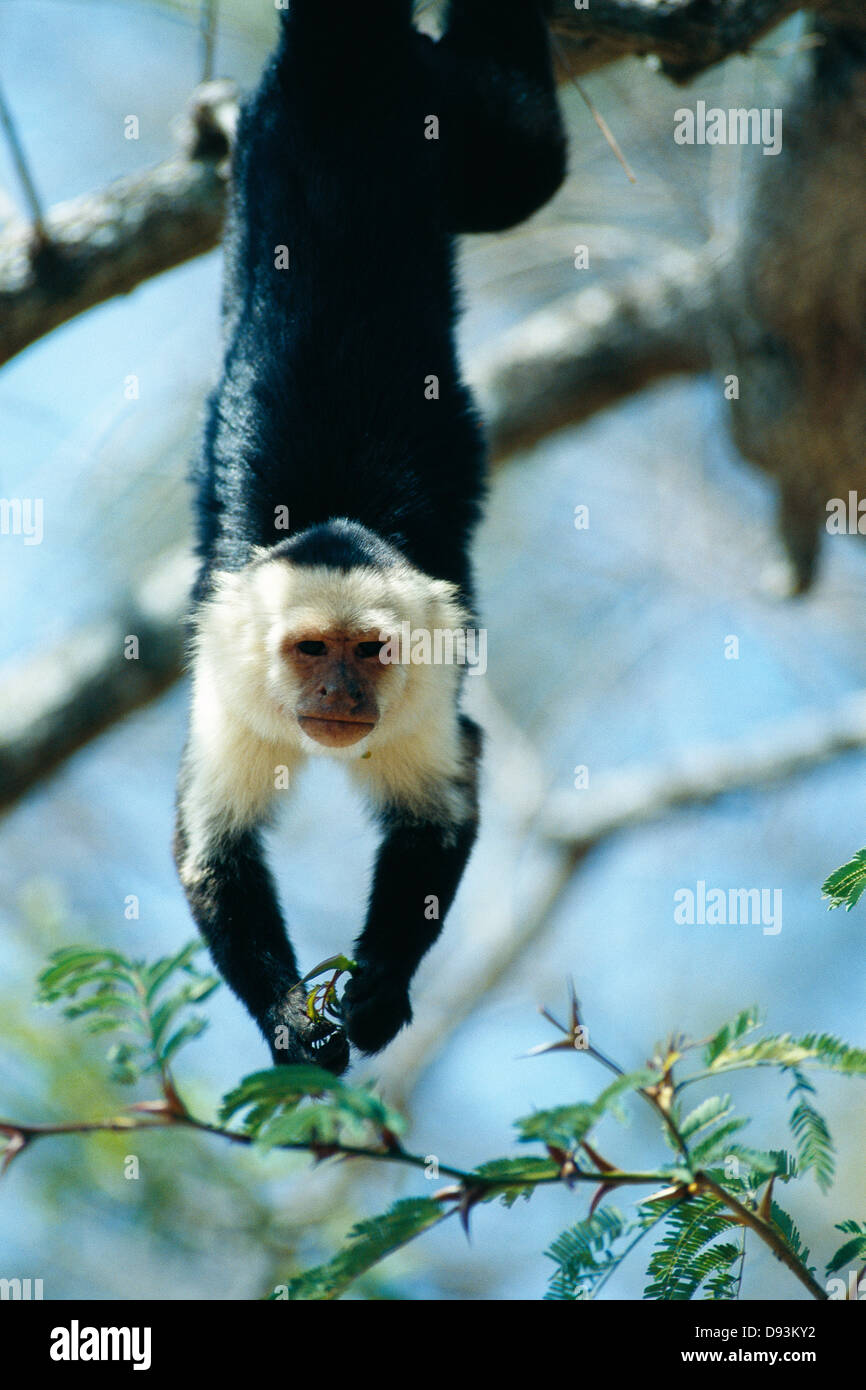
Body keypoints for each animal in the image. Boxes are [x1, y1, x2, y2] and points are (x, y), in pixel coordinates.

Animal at [173, 0, 566, 1074]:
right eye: (312, 651)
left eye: (370, 653)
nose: (344, 698)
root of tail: (340, 53)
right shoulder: (226, 670)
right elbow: (212, 851)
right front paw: (289, 1019)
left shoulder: (430, 674)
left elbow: (445, 801)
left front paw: (380, 991)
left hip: (447, 115)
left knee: (526, 161)